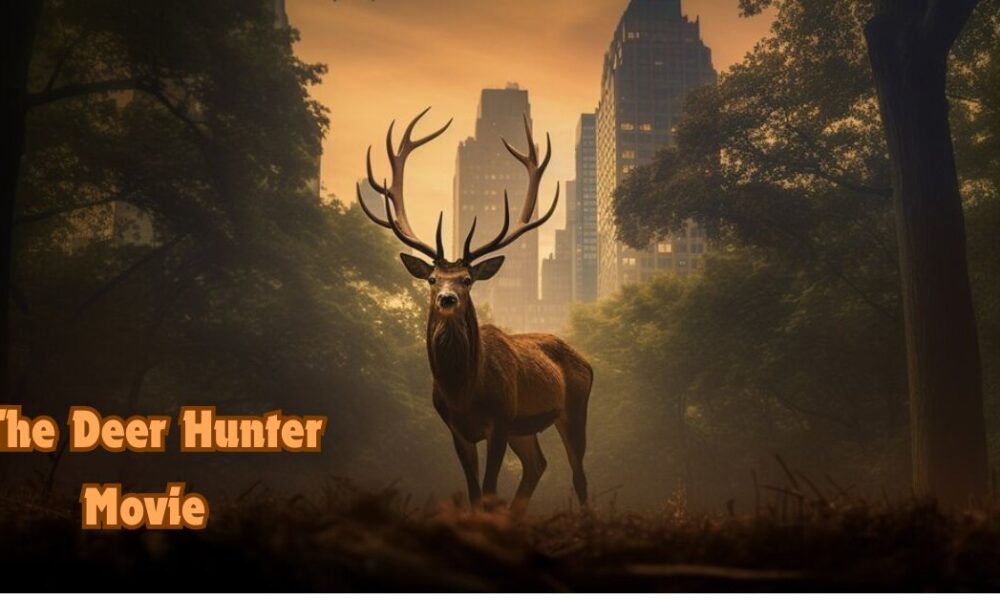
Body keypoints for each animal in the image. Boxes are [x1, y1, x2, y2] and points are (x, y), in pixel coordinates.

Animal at [357, 108, 593, 515]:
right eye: (432, 278)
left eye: (467, 279)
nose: (447, 298)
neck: (464, 391)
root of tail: (586, 360)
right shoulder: (456, 429)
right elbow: (472, 491)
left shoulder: (500, 419)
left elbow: (488, 488)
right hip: (523, 428)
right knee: (537, 465)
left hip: (573, 408)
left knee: (579, 476)